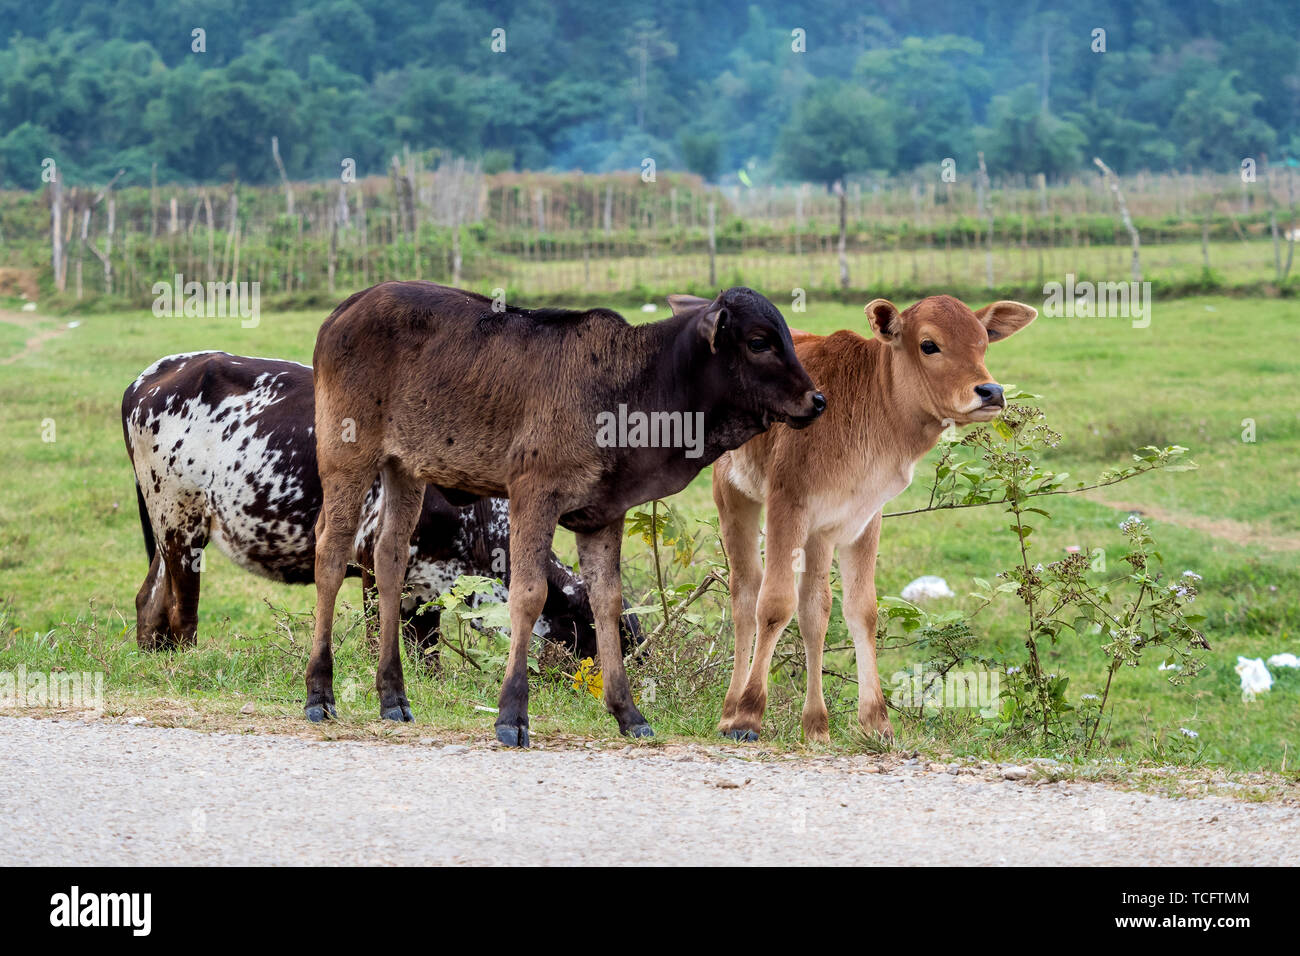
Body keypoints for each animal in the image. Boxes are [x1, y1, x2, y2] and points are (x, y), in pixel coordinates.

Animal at [122, 351, 637, 663]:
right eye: (603, 633)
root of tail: (150, 375)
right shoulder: (374, 559)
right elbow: (379, 638)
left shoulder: (432, 583)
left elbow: (426, 652)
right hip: (180, 522)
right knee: (182, 611)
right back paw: (186, 662)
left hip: (168, 528)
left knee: (150, 600)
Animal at [308, 282, 824, 745]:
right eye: (759, 342)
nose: (817, 400)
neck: (637, 382)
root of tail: (347, 309)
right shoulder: (532, 495)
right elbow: (529, 595)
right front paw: (512, 716)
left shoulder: (602, 513)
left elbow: (608, 601)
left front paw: (628, 714)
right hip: (346, 455)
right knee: (330, 554)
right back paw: (320, 694)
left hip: (405, 471)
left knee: (389, 559)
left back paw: (393, 698)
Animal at [713, 295, 1037, 742]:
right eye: (929, 345)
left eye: (983, 342)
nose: (991, 391)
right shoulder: (786, 504)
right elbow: (774, 605)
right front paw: (748, 715)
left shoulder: (862, 519)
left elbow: (860, 611)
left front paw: (876, 720)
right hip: (735, 496)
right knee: (745, 595)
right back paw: (731, 710)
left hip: (819, 535)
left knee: (814, 609)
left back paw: (816, 723)